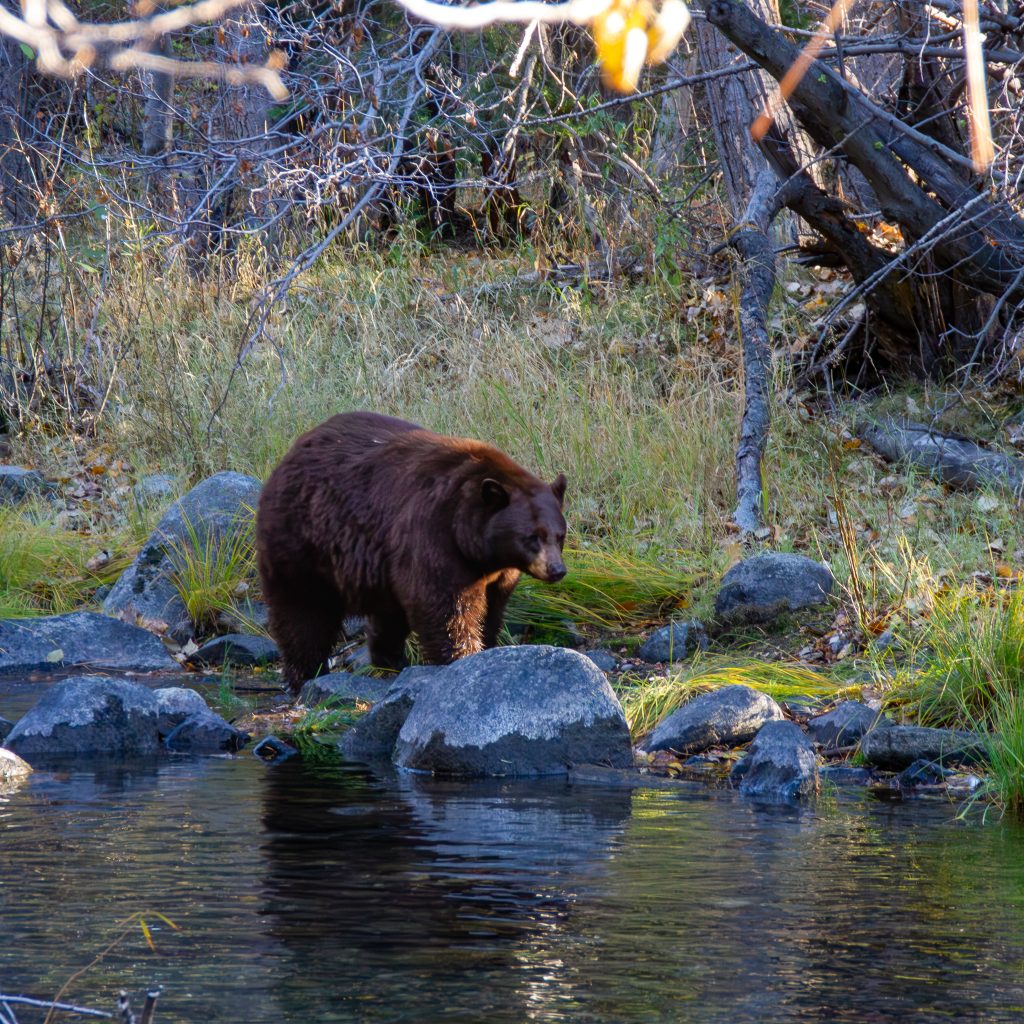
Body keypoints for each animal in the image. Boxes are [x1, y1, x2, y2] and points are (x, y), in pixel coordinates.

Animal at [256, 411, 568, 694]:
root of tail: (291, 452)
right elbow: (444, 606)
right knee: (303, 613)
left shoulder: (499, 574)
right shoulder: (434, 536)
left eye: (560, 535)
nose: (557, 570)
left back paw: (391, 661)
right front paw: (462, 658)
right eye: (532, 537)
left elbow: (492, 609)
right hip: (302, 541)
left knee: (388, 617)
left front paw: (488, 646)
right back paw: (306, 673)